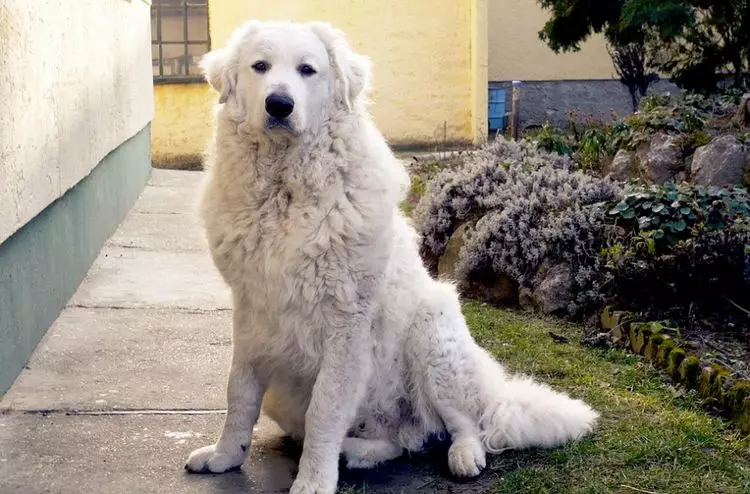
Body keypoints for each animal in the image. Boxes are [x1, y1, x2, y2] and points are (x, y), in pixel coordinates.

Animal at [187, 20, 600, 494]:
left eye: (307, 70)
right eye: (260, 66)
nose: (279, 104)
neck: (284, 186)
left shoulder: (345, 324)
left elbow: (324, 410)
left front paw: (312, 481)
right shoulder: (253, 311)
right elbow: (239, 392)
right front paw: (225, 456)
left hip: (433, 339)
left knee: (462, 424)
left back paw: (464, 456)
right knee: (402, 440)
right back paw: (357, 452)